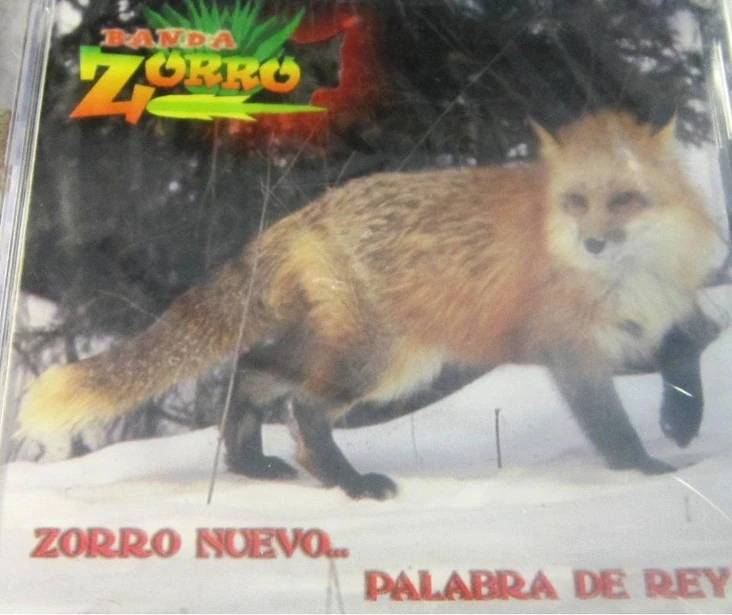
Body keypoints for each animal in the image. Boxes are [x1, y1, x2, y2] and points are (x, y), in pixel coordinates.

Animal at [17, 111, 727, 500]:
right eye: (576, 202)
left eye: (626, 200)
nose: (593, 243)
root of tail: (306, 212)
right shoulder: (568, 351)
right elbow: (612, 426)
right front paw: (647, 469)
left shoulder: (647, 320)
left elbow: (691, 340)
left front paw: (682, 419)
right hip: (379, 365)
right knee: (302, 406)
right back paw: (350, 483)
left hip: (376, 359)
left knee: (252, 370)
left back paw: (253, 466)